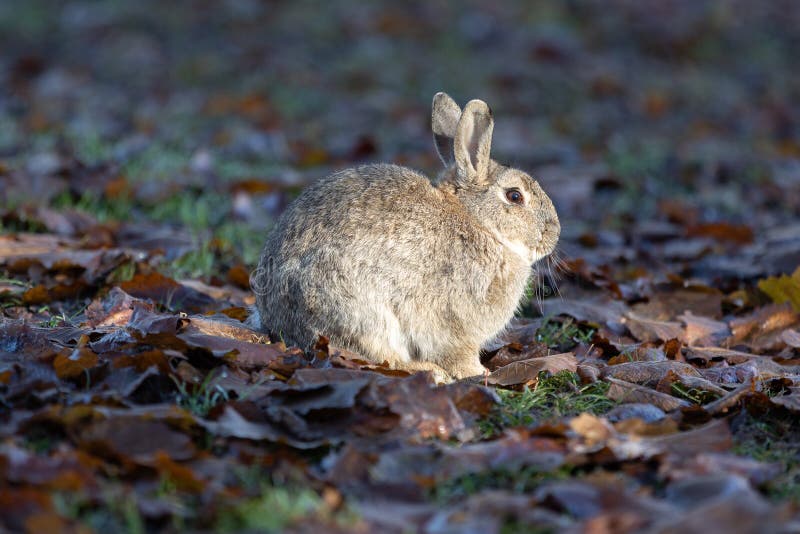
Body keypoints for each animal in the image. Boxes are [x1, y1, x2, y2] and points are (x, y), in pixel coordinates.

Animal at [250, 92, 560, 381]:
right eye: (515, 196)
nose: (554, 234)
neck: (478, 222)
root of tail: (279, 322)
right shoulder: (455, 323)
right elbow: (459, 353)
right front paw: (478, 373)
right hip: (361, 310)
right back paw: (432, 372)